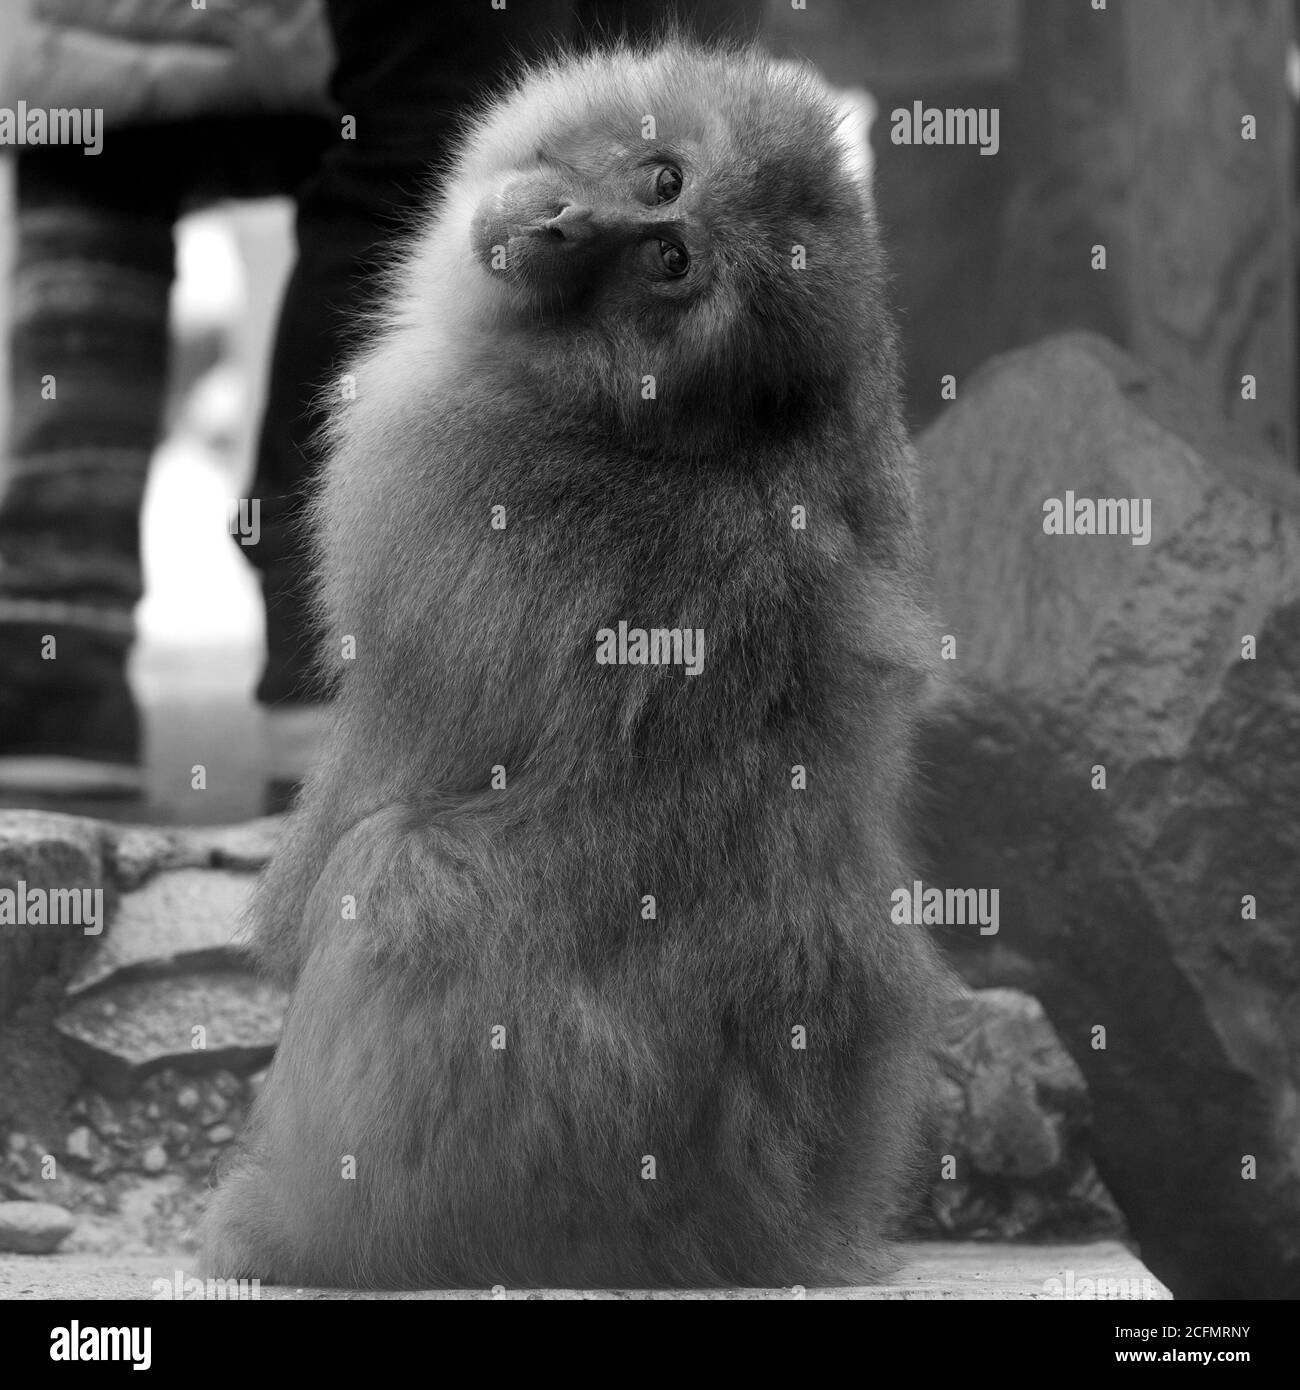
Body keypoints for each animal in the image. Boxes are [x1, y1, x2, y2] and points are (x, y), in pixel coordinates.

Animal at [199, 38, 947, 1290]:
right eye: (663, 182)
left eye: (666, 261)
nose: (559, 220)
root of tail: (735, 1231)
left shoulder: (430, 472)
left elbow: (341, 847)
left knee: (397, 878)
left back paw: (293, 1232)